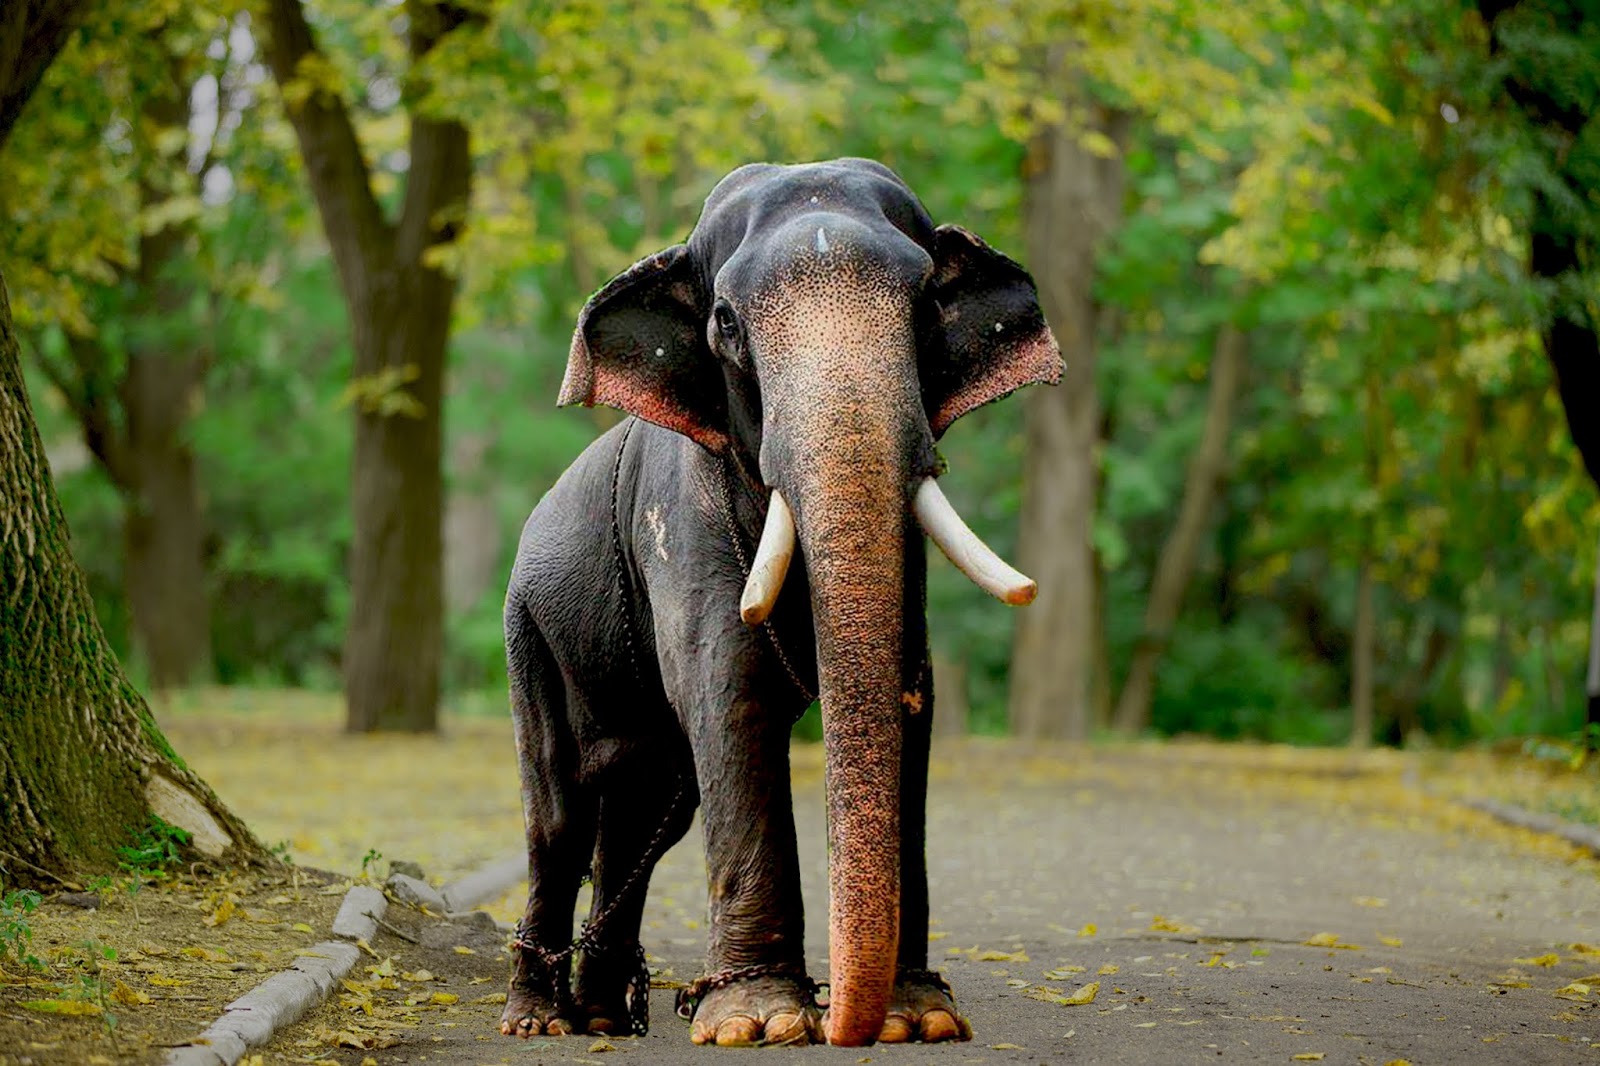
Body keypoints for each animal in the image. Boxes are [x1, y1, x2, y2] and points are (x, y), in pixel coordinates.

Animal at [500, 158, 1060, 1047]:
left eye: (927, 304)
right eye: (726, 323)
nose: (843, 1022)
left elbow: (914, 695)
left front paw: (920, 1019)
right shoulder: (680, 522)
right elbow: (729, 692)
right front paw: (757, 1022)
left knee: (645, 815)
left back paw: (605, 1014)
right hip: (531, 632)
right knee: (557, 814)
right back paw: (539, 1021)